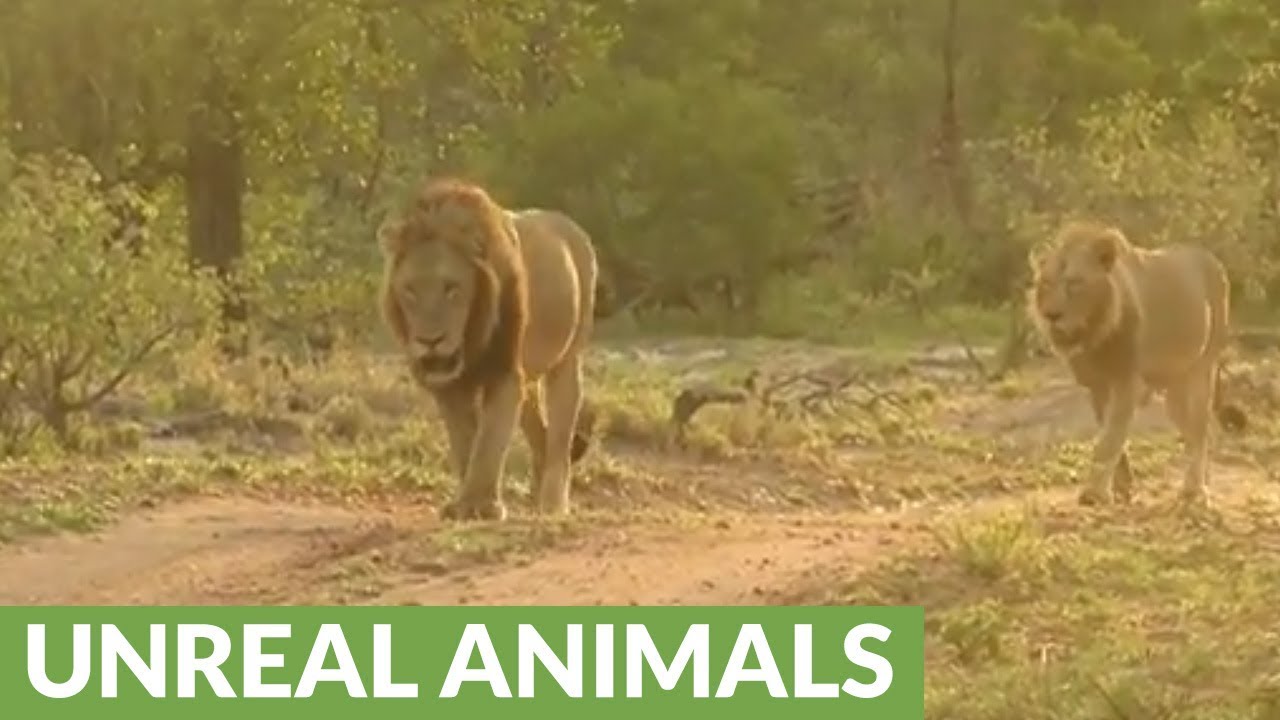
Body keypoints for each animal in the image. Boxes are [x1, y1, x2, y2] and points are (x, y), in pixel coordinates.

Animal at [378, 177, 598, 521]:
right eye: (410, 290)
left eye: (452, 288)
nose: (430, 340)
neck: (470, 337)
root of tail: (570, 224)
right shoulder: (451, 386)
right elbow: (465, 440)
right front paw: (464, 504)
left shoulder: (504, 372)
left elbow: (490, 439)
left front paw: (482, 505)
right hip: (529, 378)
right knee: (539, 432)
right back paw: (536, 493)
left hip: (567, 359)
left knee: (560, 437)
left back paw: (552, 505)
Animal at [1027, 219, 1244, 508]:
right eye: (1046, 283)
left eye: (1075, 283)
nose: (1051, 315)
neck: (1094, 333)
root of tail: (1211, 258)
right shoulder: (1097, 387)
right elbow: (1113, 439)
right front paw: (1123, 488)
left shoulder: (1125, 382)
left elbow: (1108, 440)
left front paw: (1093, 494)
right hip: (1174, 388)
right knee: (1193, 430)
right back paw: (1201, 483)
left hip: (1202, 368)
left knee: (1200, 429)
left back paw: (1194, 489)